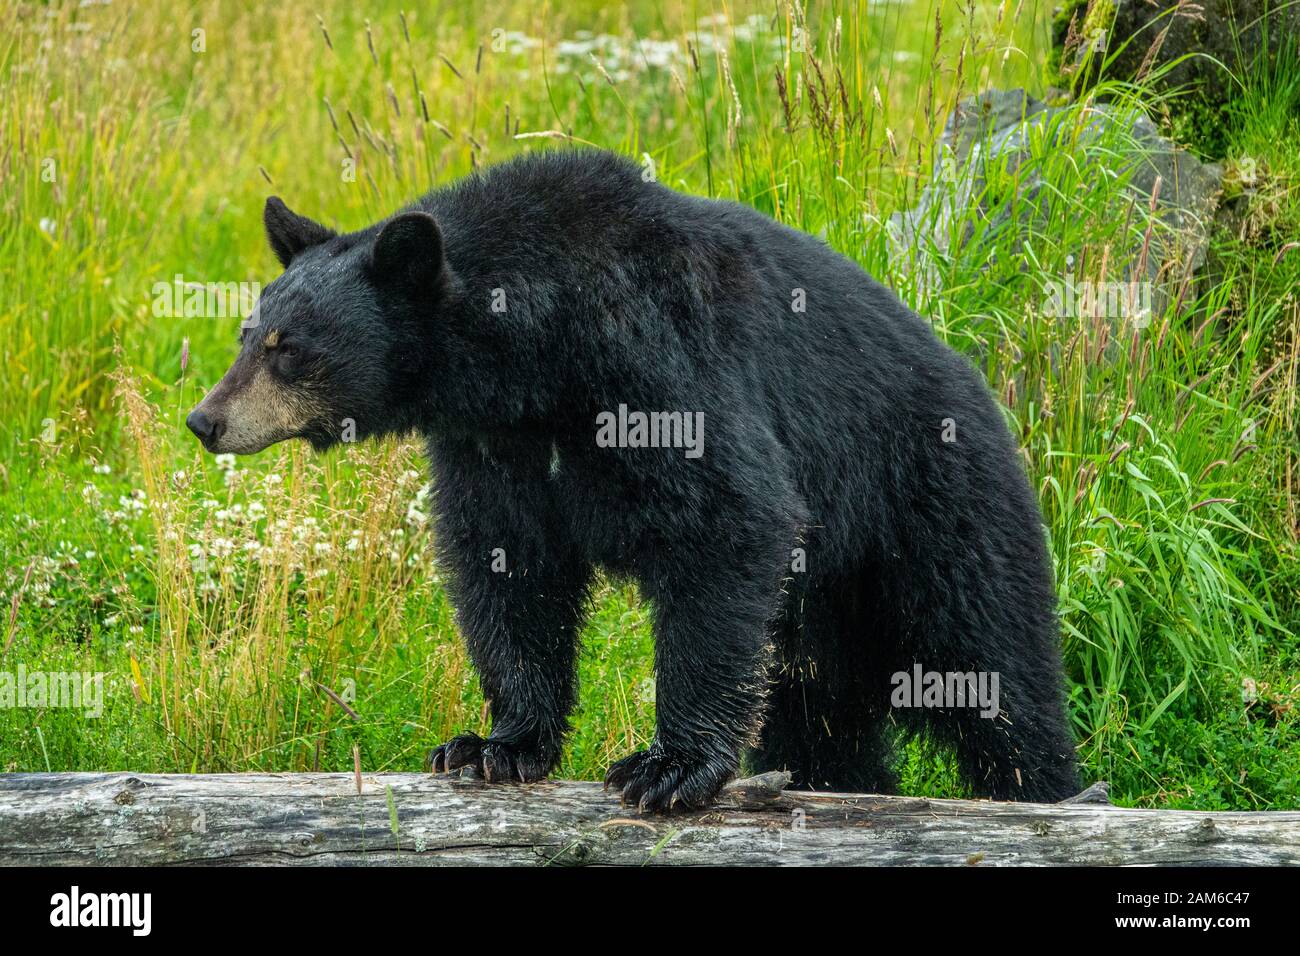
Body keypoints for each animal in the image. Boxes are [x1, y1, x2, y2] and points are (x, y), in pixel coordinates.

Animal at [187, 148, 1079, 811]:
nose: (205, 421)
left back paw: (1047, 793)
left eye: (290, 349)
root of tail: (982, 391)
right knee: (820, 717)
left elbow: (727, 520)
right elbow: (507, 565)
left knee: (994, 671)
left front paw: (668, 767)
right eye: (247, 333)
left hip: (932, 511)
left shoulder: (654, 362)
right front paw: (495, 745)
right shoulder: (494, 445)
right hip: (825, 611)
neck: (534, 356)